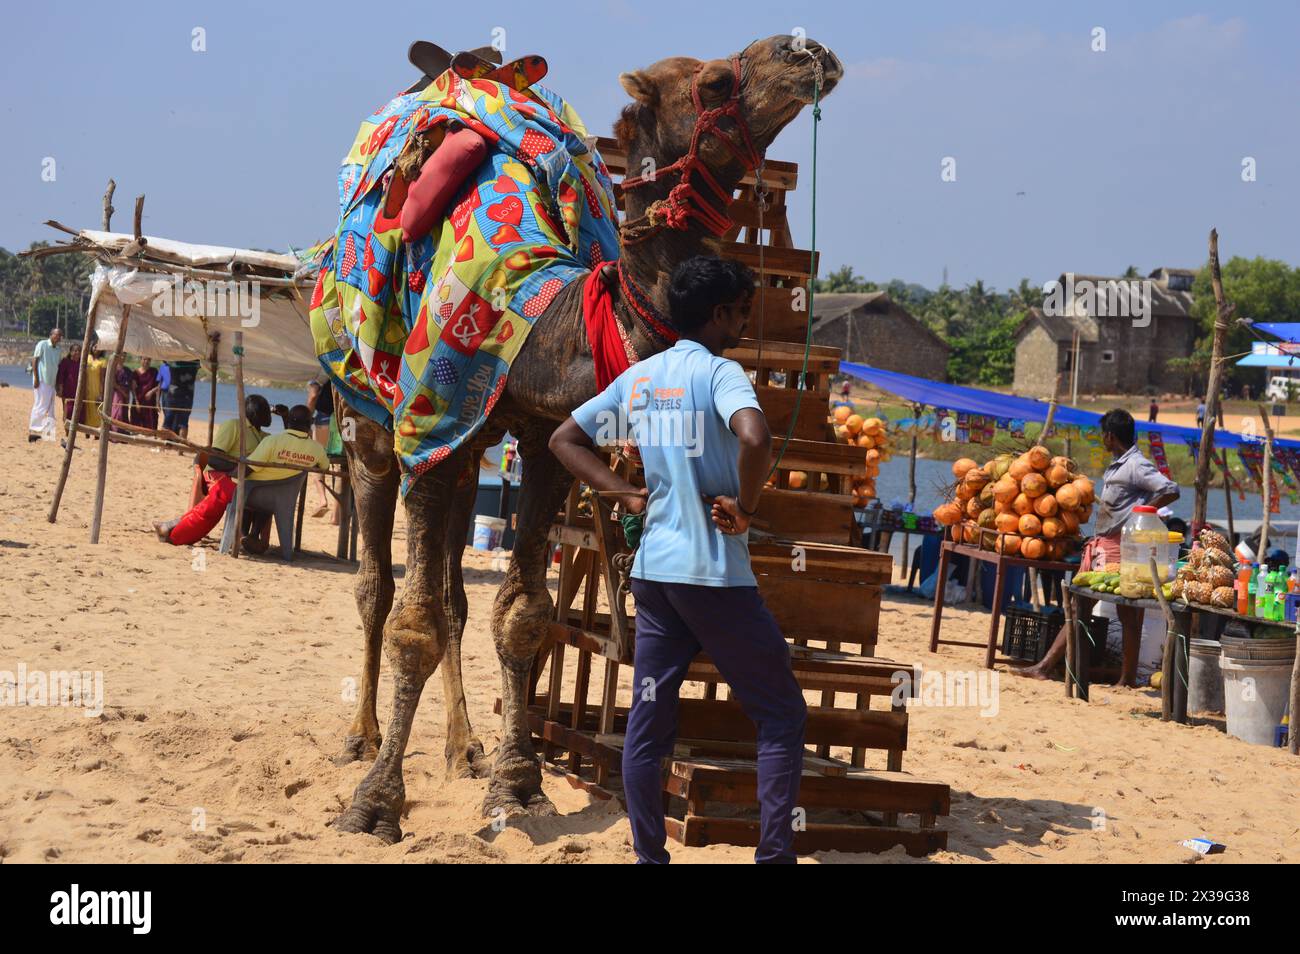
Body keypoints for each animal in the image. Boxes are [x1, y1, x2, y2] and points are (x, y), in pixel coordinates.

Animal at [332, 34, 842, 843]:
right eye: (713, 80)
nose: (808, 49)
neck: (538, 312)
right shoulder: (428, 428)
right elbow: (414, 623)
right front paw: (376, 804)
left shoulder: (539, 441)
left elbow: (522, 614)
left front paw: (517, 786)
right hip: (370, 427)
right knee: (377, 585)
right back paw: (363, 739)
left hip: (472, 450)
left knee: (453, 595)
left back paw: (464, 748)